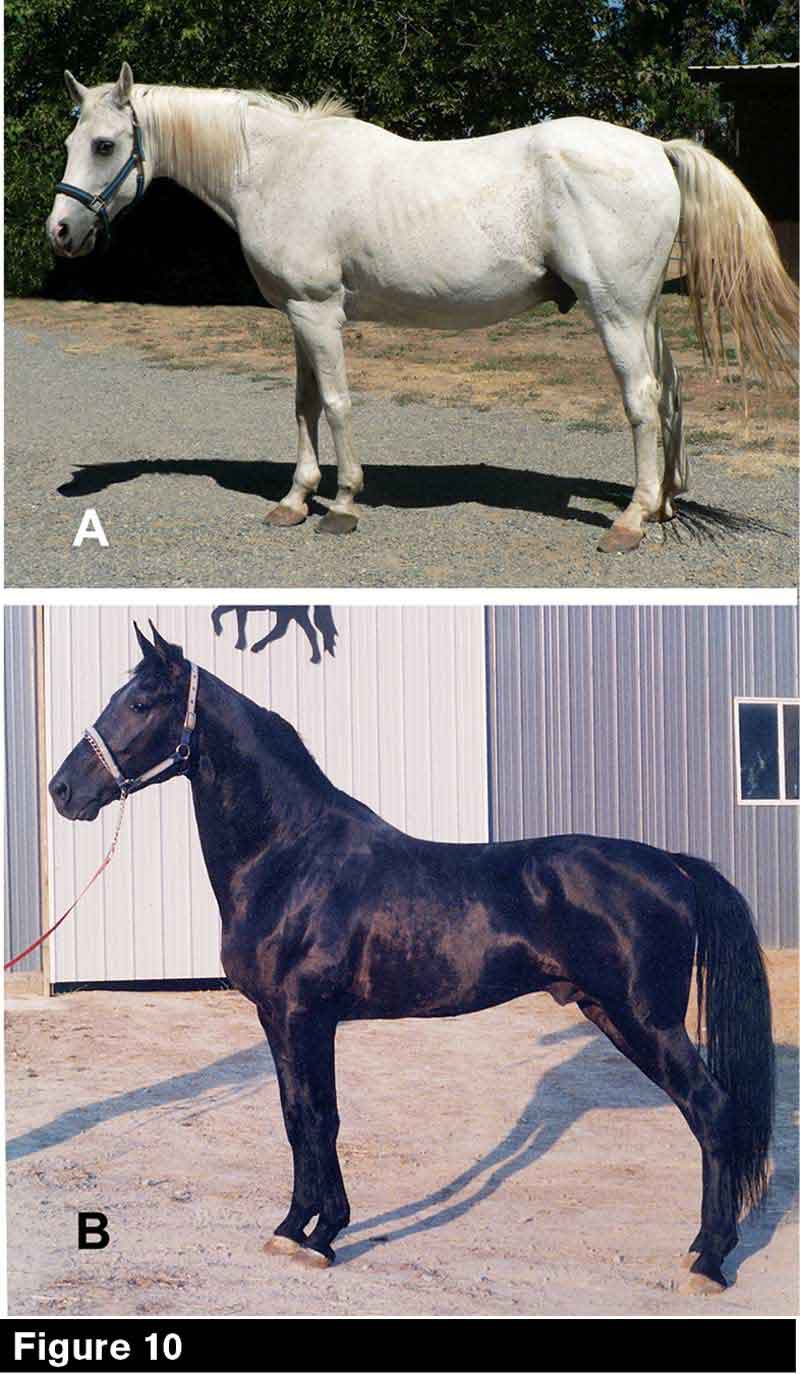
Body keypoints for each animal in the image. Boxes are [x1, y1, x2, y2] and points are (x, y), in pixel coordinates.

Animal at [46, 64, 797, 554]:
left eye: (106, 145)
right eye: (70, 143)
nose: (60, 232)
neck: (279, 166)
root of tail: (655, 149)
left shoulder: (319, 312)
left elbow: (337, 405)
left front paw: (343, 504)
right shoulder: (297, 315)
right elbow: (303, 404)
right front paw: (294, 500)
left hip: (614, 312)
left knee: (640, 399)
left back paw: (632, 522)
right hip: (641, 313)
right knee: (667, 396)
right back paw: (663, 503)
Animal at [48, 622, 774, 1290]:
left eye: (142, 702)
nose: (62, 791)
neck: (290, 857)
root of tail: (672, 865)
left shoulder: (308, 1016)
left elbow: (322, 1117)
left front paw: (325, 1234)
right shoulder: (275, 1018)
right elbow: (294, 1117)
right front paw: (291, 1228)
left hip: (649, 1021)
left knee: (712, 1110)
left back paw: (708, 1260)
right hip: (612, 1015)